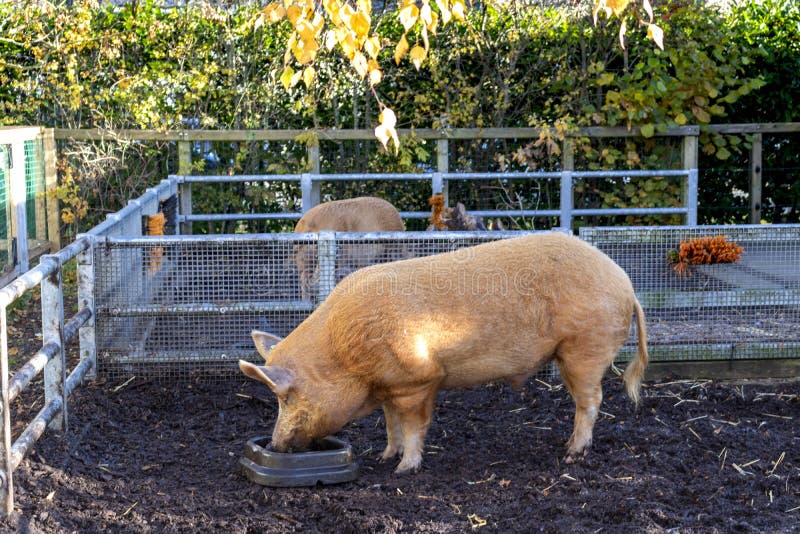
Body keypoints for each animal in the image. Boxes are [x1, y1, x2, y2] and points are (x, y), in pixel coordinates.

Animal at [240, 232, 648, 474]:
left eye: (286, 398)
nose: (275, 443)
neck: (343, 353)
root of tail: (627, 284)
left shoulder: (418, 379)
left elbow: (413, 426)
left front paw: (404, 469)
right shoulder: (388, 386)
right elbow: (390, 424)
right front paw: (384, 457)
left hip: (585, 347)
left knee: (591, 400)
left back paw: (571, 453)